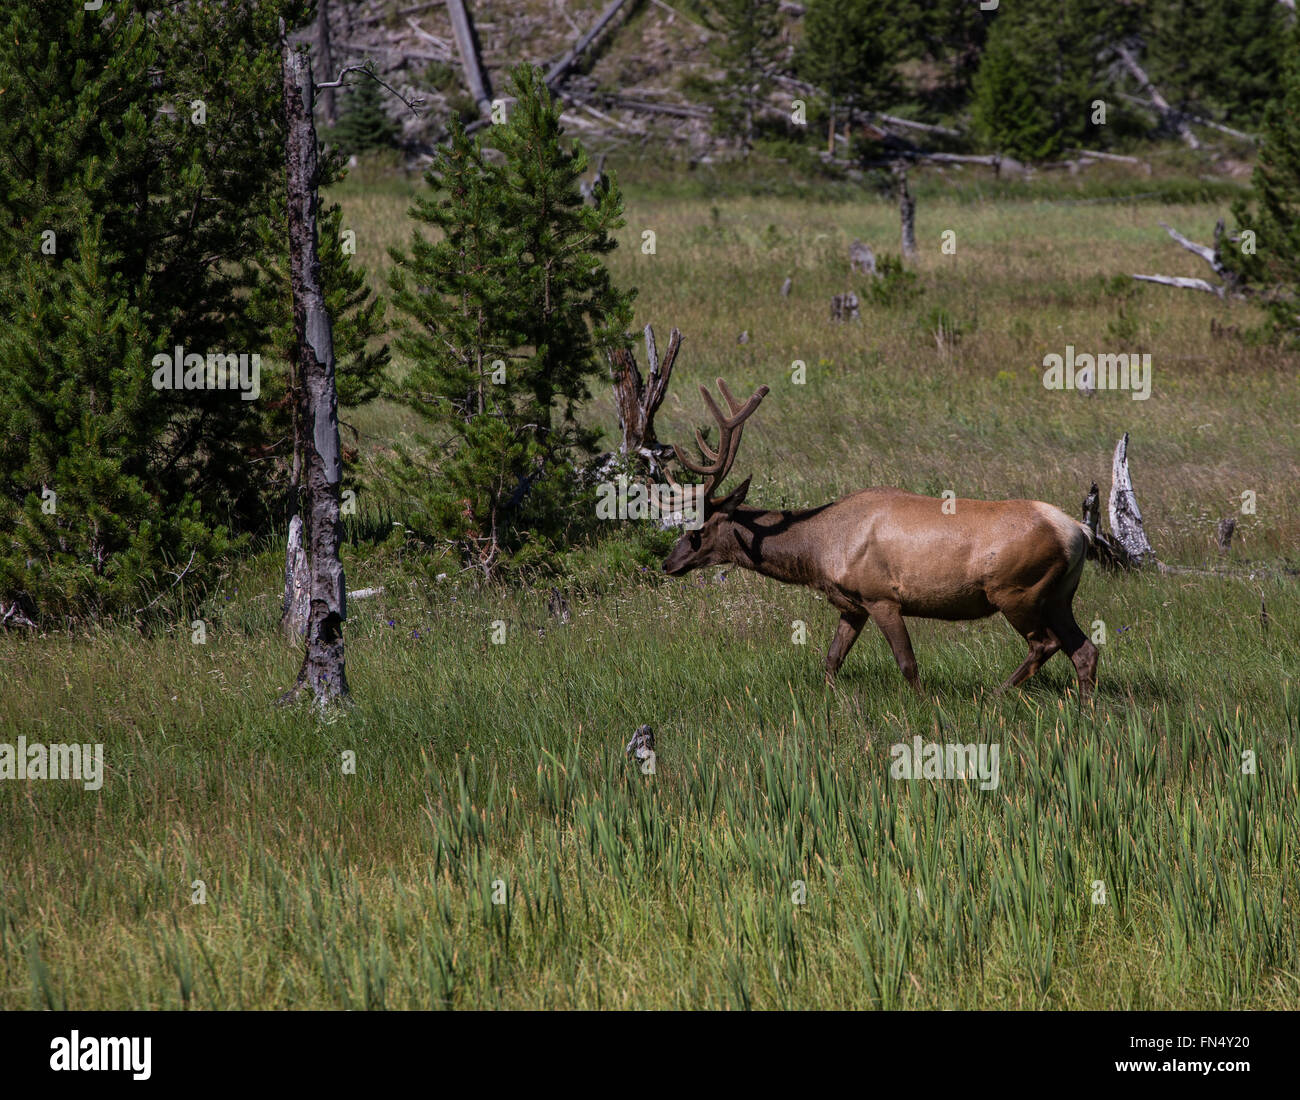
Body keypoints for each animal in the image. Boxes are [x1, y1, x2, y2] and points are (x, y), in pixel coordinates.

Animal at [662, 379, 1098, 699]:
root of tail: (1078, 531)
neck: (821, 549)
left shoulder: (881, 595)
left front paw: (924, 705)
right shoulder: (852, 603)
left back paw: (995, 694)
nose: (668, 563)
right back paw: (1085, 708)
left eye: (696, 531)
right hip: (1060, 594)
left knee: (1045, 644)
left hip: (1015, 589)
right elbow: (831, 660)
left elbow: (907, 663)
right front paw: (831, 701)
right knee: (1084, 649)